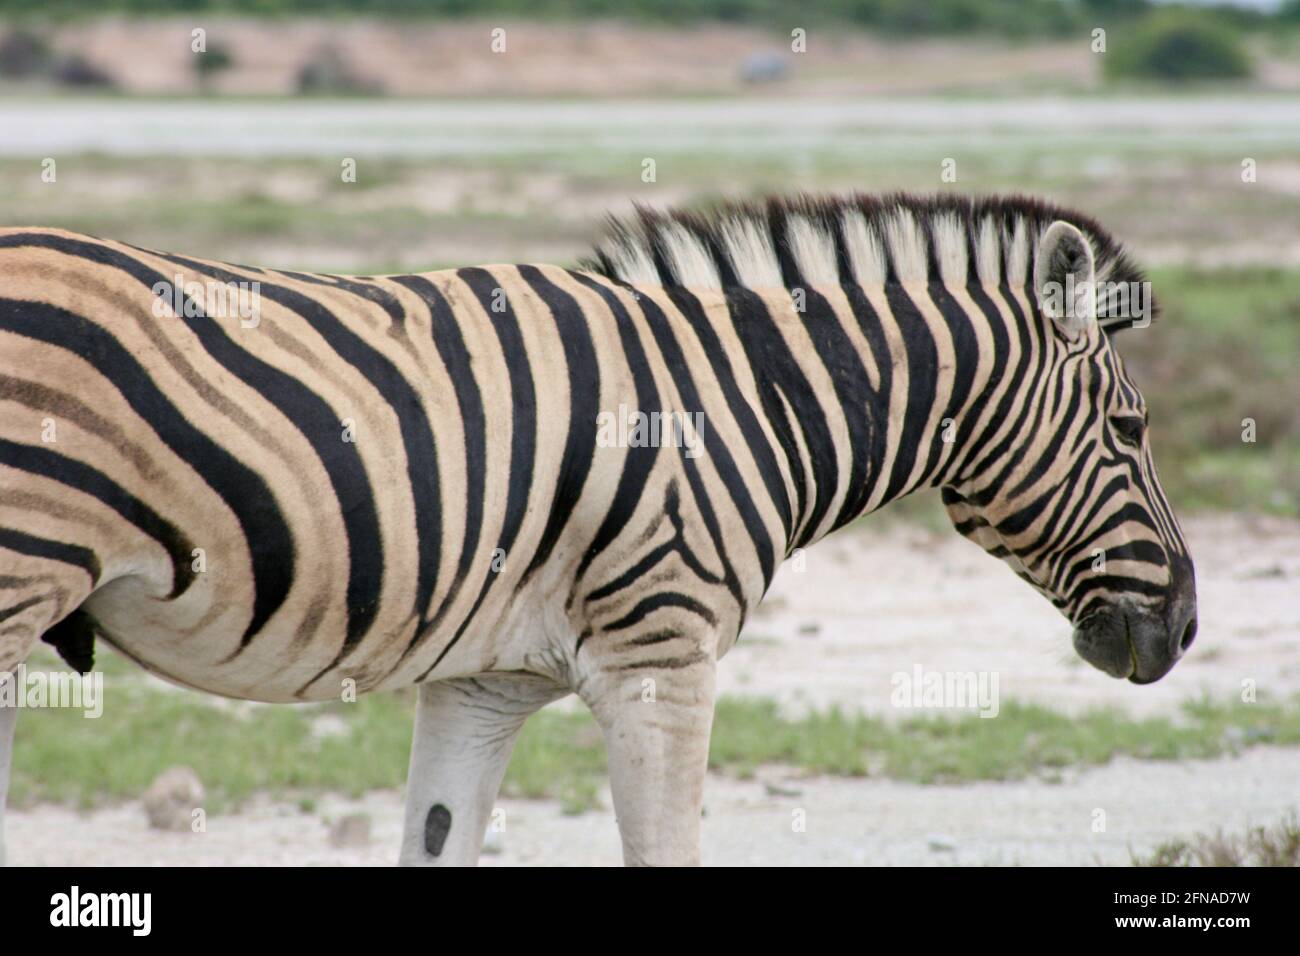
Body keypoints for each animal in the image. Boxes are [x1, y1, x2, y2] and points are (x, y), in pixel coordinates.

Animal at [0, 193, 1196, 866]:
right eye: (1131, 428)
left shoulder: (481, 680)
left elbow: (437, 842)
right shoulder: (661, 654)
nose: (1183, 627)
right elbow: (666, 854)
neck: (747, 398)